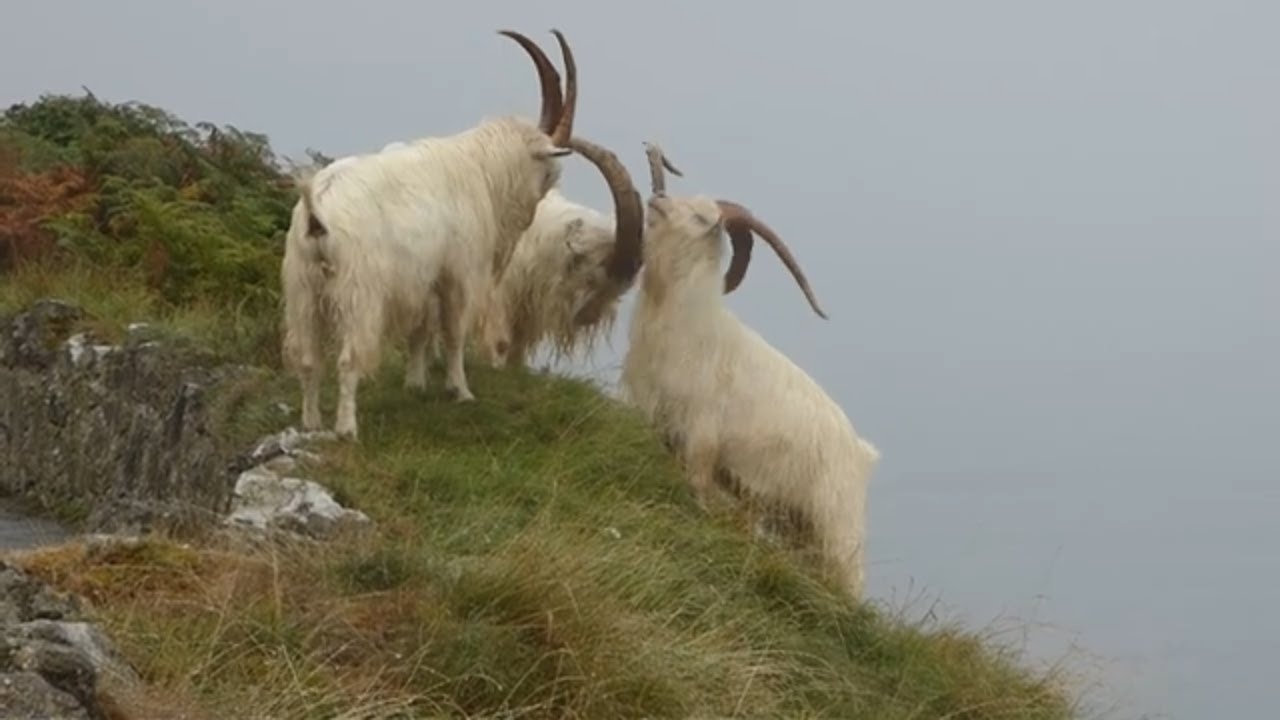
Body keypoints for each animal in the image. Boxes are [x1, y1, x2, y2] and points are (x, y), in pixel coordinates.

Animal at [281, 29, 590, 440]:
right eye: (550, 171)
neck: (480, 169)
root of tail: (318, 214)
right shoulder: (458, 274)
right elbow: (454, 333)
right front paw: (460, 391)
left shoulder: (425, 280)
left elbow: (420, 330)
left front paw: (416, 384)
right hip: (359, 292)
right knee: (348, 359)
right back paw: (347, 429)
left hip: (303, 291)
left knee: (308, 359)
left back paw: (311, 423)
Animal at [618, 151, 881, 599]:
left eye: (703, 217)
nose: (659, 202)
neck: (687, 326)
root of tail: (863, 451)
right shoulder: (648, 414)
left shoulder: (700, 440)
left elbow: (697, 488)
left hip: (837, 527)